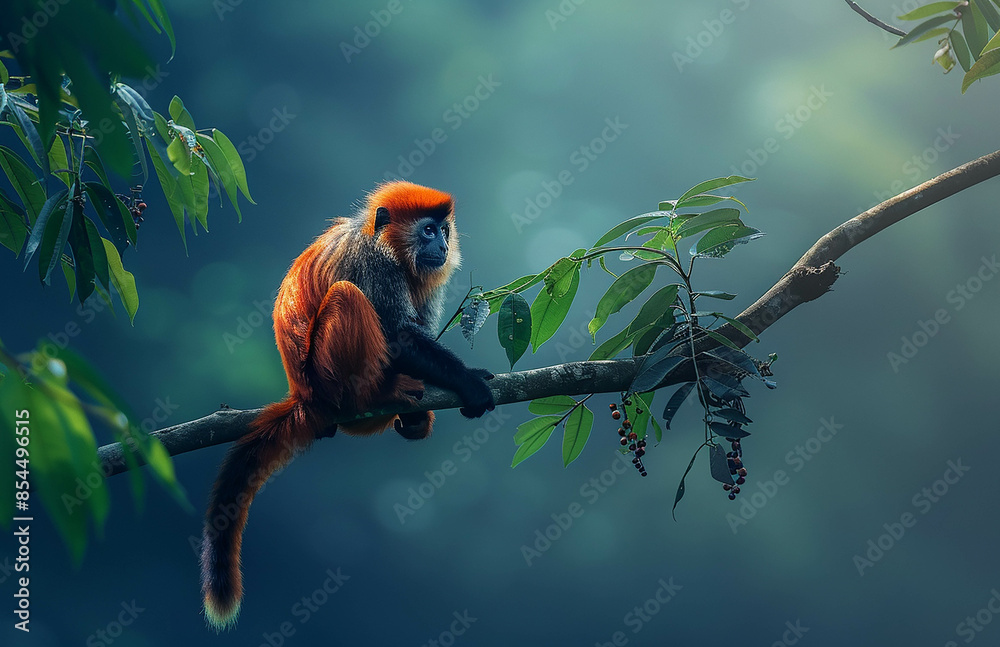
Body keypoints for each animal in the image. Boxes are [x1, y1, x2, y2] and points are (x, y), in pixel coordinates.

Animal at [199, 181, 495, 630]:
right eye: (428, 230)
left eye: (444, 230)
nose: (442, 244)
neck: (388, 246)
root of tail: (305, 396)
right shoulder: (374, 263)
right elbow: (399, 336)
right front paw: (468, 381)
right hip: (328, 376)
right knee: (347, 296)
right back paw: (377, 395)